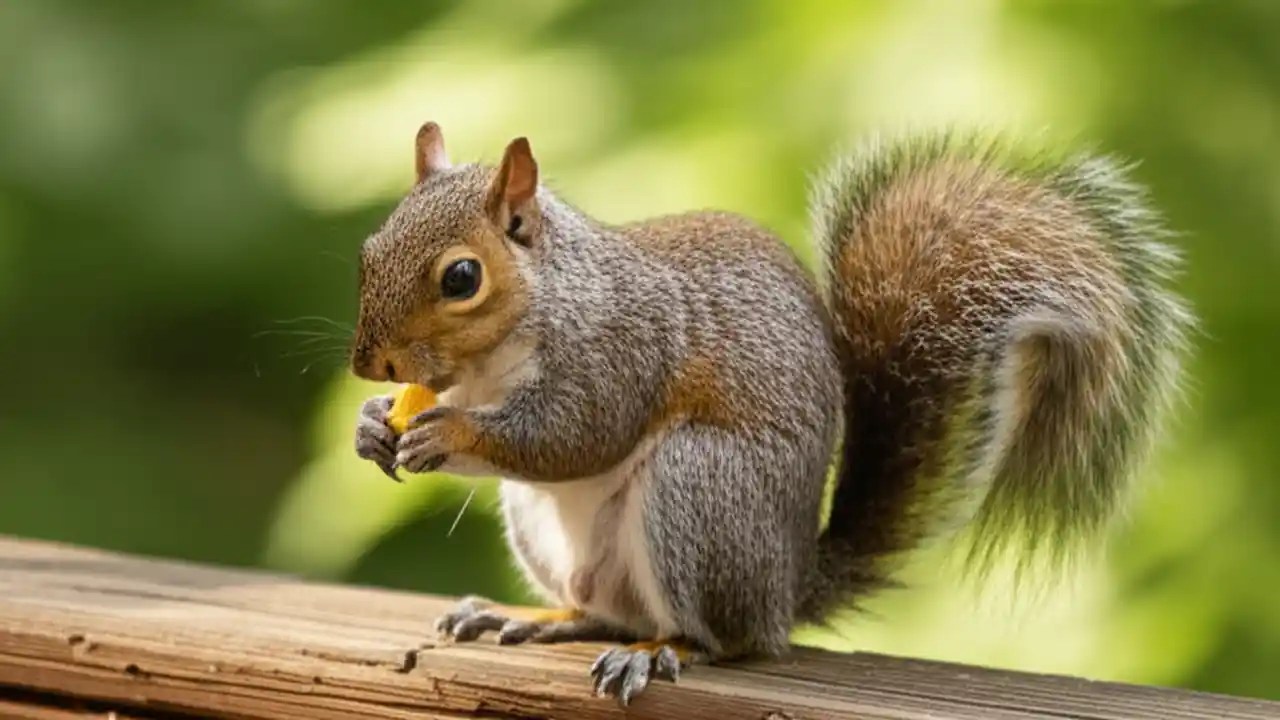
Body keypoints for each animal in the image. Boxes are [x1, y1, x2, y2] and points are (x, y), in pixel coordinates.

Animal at [350, 121, 1192, 706]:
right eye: (368, 249)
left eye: (462, 277)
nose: (368, 364)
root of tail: (786, 589)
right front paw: (372, 422)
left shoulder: (623, 350)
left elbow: (577, 437)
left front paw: (449, 431)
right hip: (550, 529)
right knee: (604, 609)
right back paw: (535, 616)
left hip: (702, 489)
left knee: (717, 638)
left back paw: (662, 651)